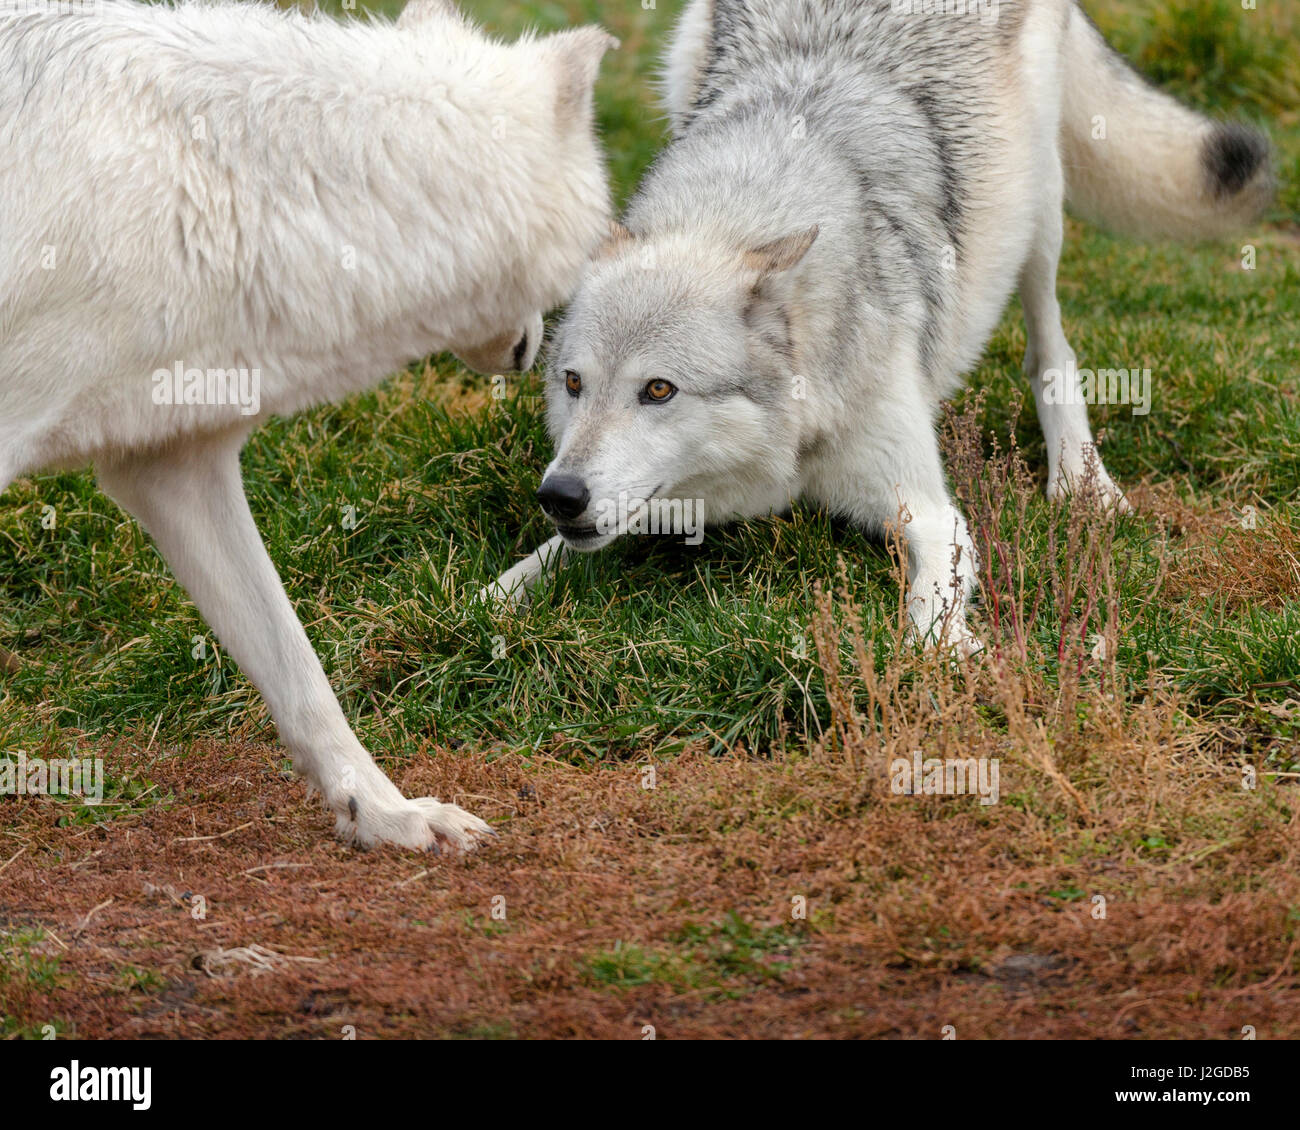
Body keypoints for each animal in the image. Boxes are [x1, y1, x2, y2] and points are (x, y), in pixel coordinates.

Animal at [492, 0, 1271, 650]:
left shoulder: (933, 515)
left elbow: (927, 619)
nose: (559, 495)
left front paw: (946, 657)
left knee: (1051, 345)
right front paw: (492, 601)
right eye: (572, 383)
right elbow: (534, 567)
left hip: (1037, 206)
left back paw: (1083, 484)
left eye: (658, 390)